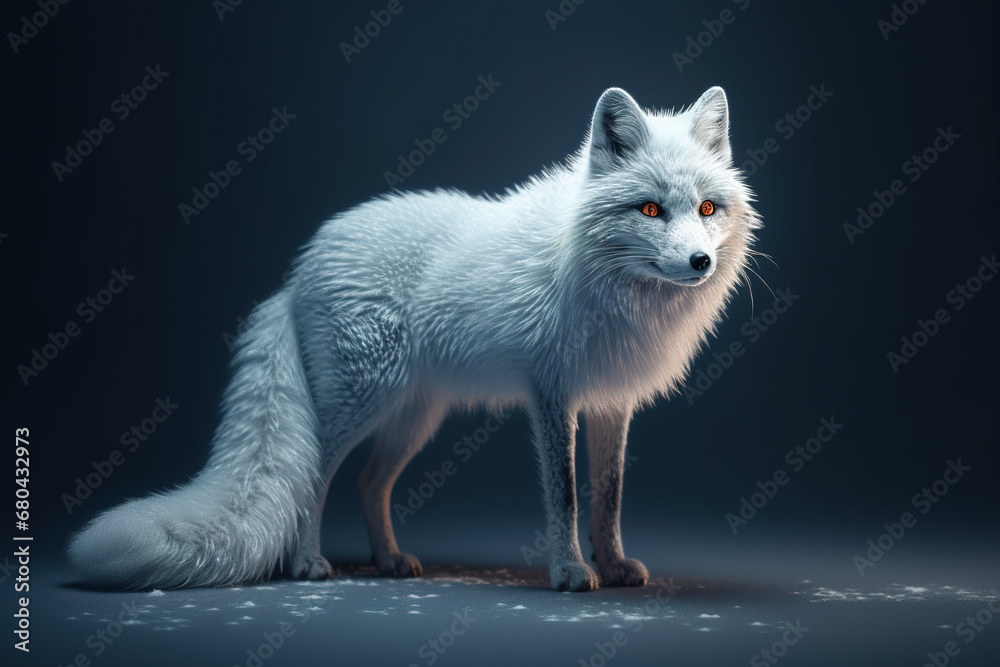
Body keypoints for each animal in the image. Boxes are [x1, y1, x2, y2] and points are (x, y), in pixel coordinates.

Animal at [69, 86, 760, 592]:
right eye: (649, 210)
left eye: (707, 209)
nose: (699, 262)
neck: (607, 282)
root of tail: (296, 274)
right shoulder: (551, 394)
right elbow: (564, 495)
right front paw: (569, 572)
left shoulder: (612, 401)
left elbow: (608, 497)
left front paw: (613, 566)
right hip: (357, 405)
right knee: (315, 478)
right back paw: (306, 564)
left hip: (414, 416)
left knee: (369, 483)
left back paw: (389, 562)